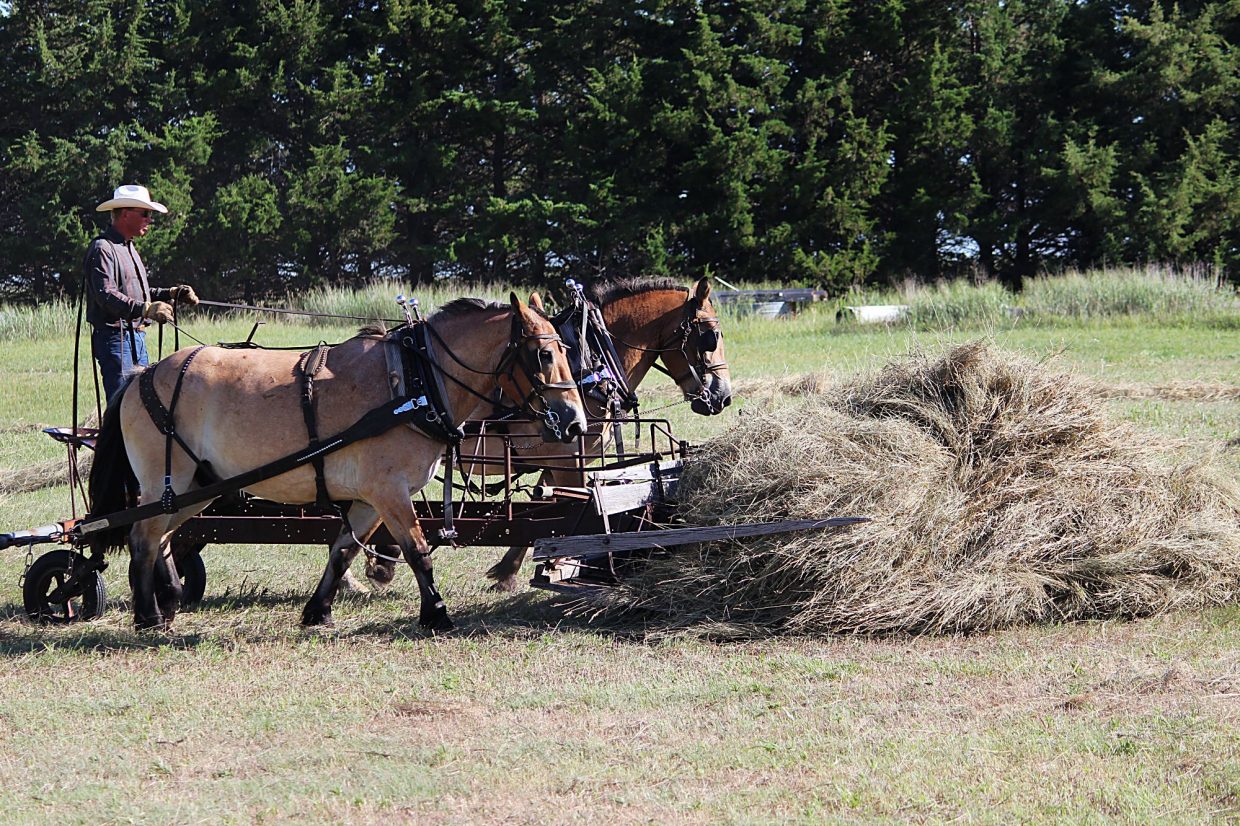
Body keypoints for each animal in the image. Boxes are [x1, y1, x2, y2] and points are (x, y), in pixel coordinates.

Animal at [87, 294, 587, 631]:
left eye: (566, 351)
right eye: (545, 354)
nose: (576, 422)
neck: (416, 382)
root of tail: (143, 374)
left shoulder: (368, 498)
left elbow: (342, 550)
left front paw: (318, 611)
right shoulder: (389, 490)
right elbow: (418, 550)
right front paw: (437, 613)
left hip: (192, 486)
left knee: (162, 536)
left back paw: (169, 599)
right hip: (164, 480)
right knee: (142, 537)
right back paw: (148, 614)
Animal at [356, 275, 733, 592]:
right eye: (710, 336)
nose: (723, 396)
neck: (591, 365)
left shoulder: (558, 455)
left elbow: (545, 506)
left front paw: (510, 571)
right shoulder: (570, 459)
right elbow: (571, 510)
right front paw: (560, 562)